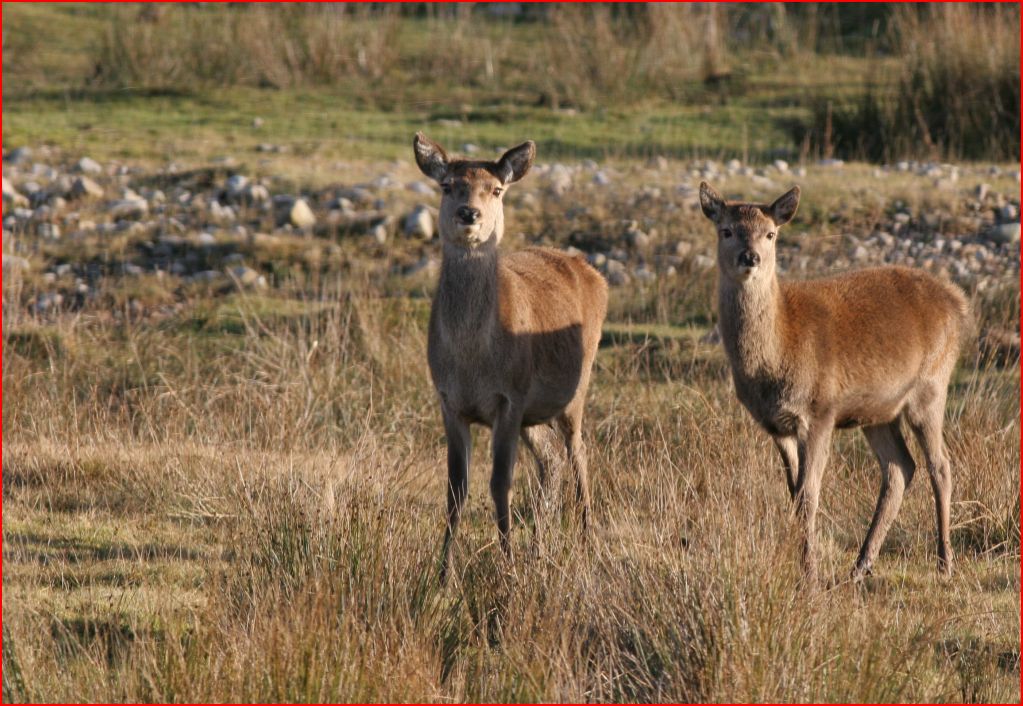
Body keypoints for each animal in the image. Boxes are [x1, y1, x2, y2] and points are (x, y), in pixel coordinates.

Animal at [413, 133, 608, 581]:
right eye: (447, 185)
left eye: (497, 189)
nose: (469, 214)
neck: (473, 359)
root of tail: (593, 272)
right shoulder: (449, 401)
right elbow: (456, 488)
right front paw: (443, 574)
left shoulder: (510, 397)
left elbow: (500, 482)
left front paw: (509, 567)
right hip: (534, 415)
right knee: (551, 459)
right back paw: (539, 549)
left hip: (576, 389)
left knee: (579, 453)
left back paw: (589, 544)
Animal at [699, 181, 969, 584]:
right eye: (726, 230)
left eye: (771, 234)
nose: (751, 257)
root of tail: (958, 300)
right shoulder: (776, 425)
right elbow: (793, 494)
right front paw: (800, 566)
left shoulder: (820, 411)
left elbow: (808, 496)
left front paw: (809, 575)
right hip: (880, 410)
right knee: (900, 468)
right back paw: (860, 565)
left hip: (931, 385)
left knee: (941, 466)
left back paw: (944, 562)